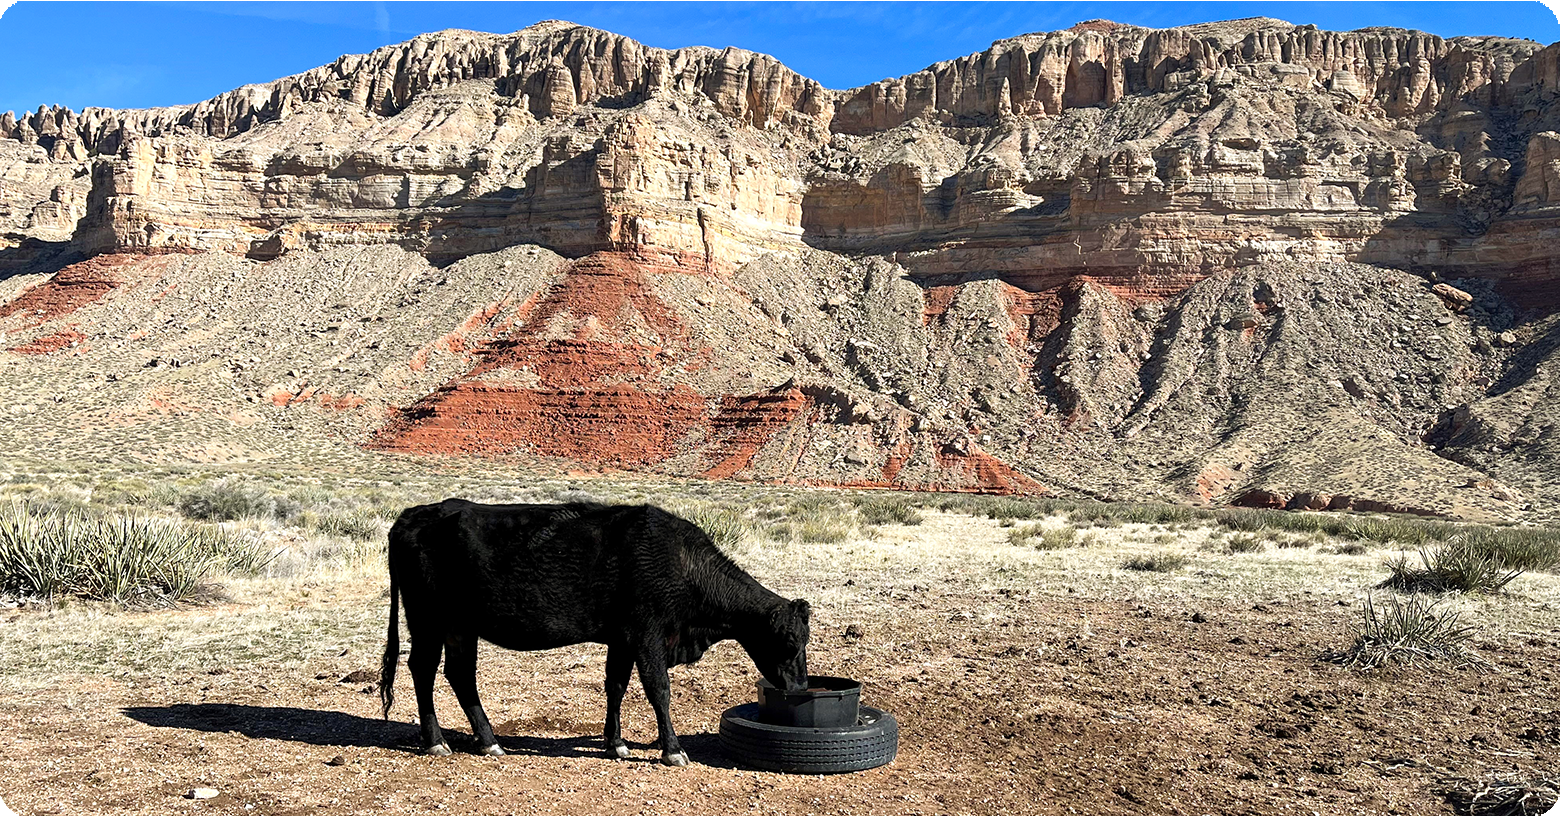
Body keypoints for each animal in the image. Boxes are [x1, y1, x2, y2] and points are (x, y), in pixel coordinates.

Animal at [379, 499, 811, 766]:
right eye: (790, 643)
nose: (800, 688)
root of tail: (413, 516)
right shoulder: (647, 635)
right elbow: (659, 689)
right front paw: (672, 750)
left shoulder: (621, 639)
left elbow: (615, 686)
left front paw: (616, 743)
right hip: (427, 620)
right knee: (423, 670)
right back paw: (436, 741)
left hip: (460, 627)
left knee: (460, 675)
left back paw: (490, 742)